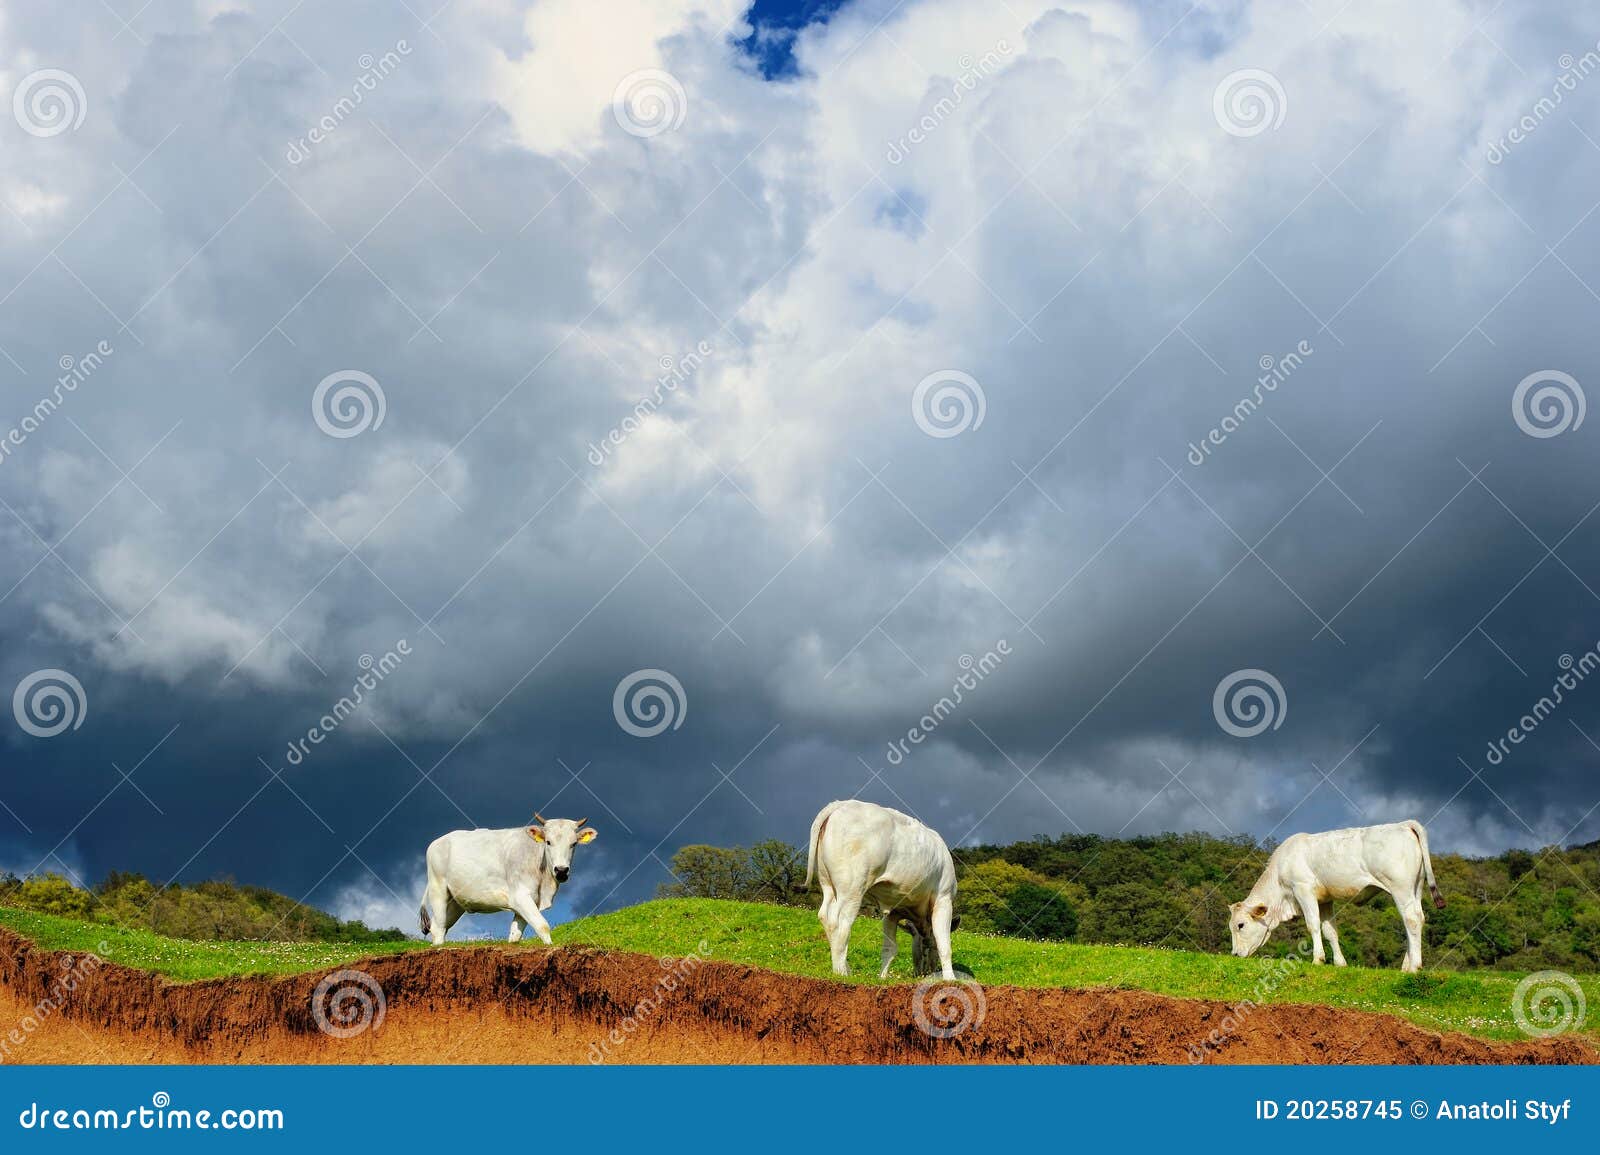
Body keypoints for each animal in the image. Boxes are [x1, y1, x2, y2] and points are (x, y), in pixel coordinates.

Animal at [419, 814, 597, 946]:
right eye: (548, 842)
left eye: (573, 844)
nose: (561, 871)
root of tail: (438, 841)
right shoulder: (520, 896)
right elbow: (542, 926)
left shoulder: (528, 902)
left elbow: (515, 936)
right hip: (438, 888)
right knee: (439, 927)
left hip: (457, 901)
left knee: (438, 926)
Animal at [804, 799, 958, 981]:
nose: (924, 972)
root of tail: (842, 804)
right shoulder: (944, 899)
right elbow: (944, 945)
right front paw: (950, 978)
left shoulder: (892, 911)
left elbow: (889, 949)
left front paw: (882, 977)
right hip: (852, 888)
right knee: (839, 923)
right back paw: (841, 972)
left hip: (828, 884)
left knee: (824, 915)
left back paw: (845, 968)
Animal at [1228, 819, 1444, 972]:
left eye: (1241, 925)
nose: (1235, 954)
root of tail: (1404, 824)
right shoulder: (1325, 899)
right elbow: (1330, 931)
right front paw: (1340, 963)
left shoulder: (1303, 890)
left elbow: (1313, 925)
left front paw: (1318, 959)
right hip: (1415, 888)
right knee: (1415, 920)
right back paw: (1406, 966)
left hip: (1401, 888)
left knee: (1411, 920)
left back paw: (1414, 967)